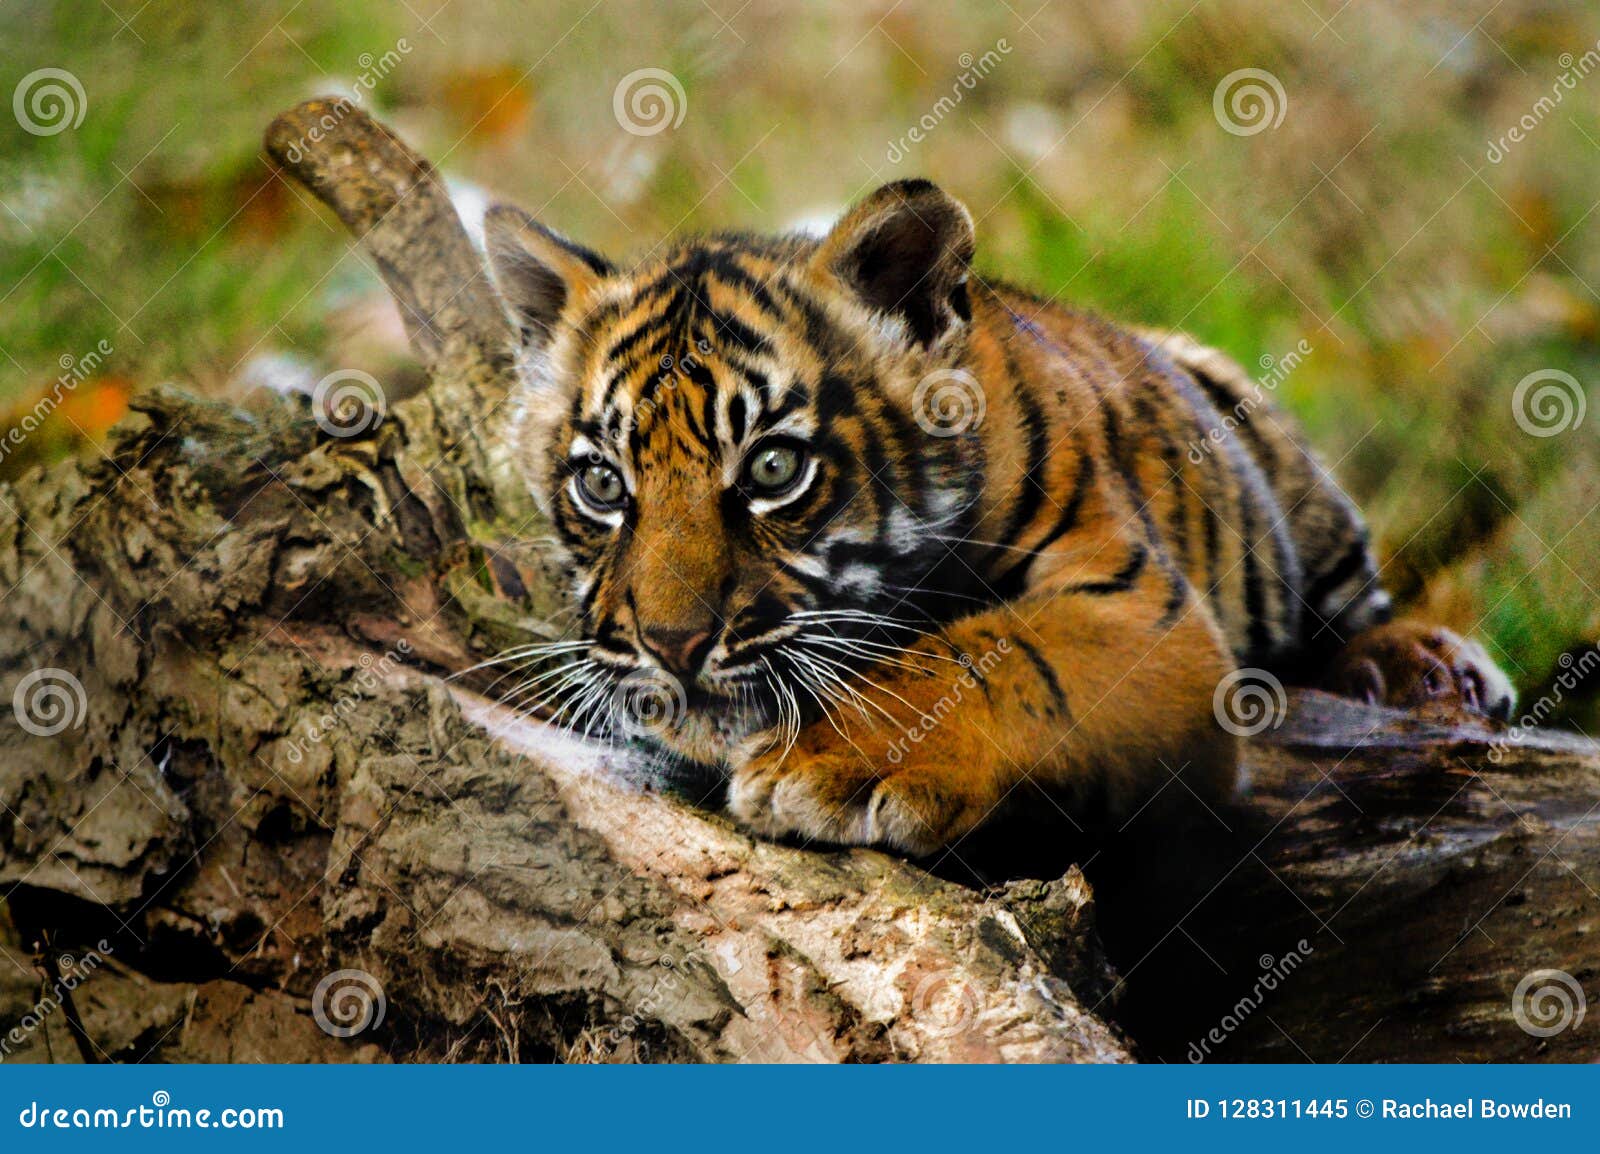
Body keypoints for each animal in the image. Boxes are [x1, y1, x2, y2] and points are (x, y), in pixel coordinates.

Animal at [481, 178, 1515, 856]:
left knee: (1354, 612)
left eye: (775, 468)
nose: (672, 644)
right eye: (602, 485)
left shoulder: (1143, 610)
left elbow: (992, 651)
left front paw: (839, 763)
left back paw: (1428, 670)